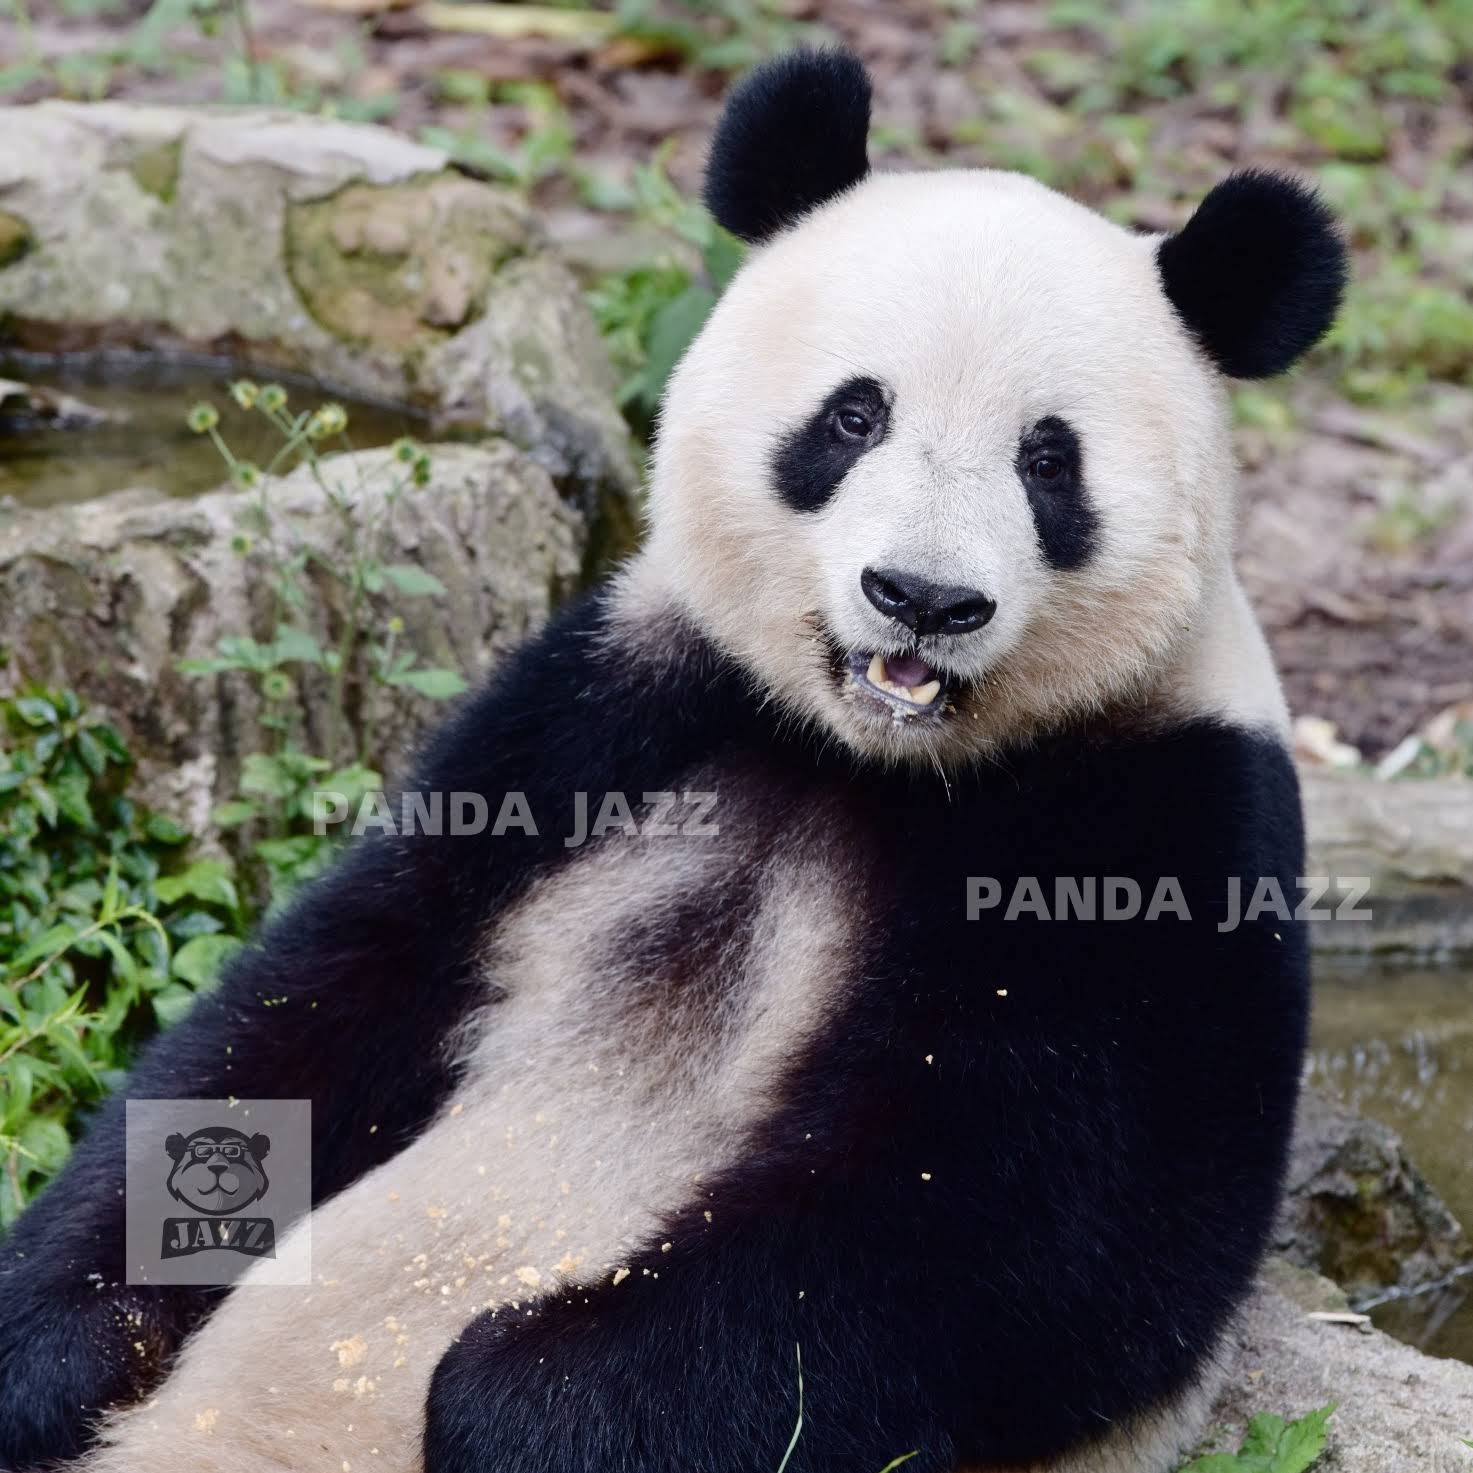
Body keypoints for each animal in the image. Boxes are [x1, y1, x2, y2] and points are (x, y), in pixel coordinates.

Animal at [0, 48, 1343, 1473]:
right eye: (854, 416)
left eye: (1049, 459)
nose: (922, 599)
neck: (868, 755)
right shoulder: (615, 708)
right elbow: (326, 991)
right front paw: (61, 1345)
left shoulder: (1157, 816)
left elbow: (1019, 1237)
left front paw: (514, 1401)